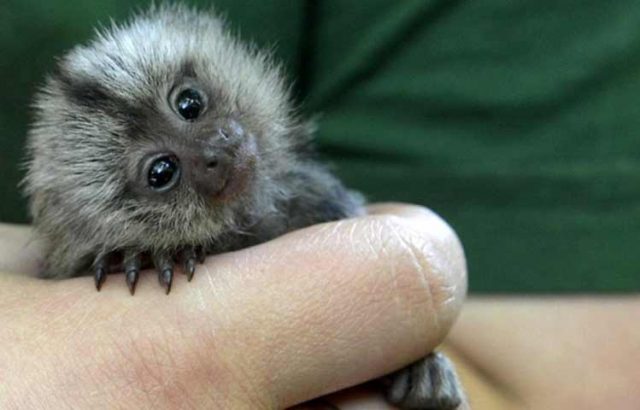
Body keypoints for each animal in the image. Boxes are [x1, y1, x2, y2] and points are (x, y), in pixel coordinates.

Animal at [22, 5, 464, 409]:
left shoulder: (320, 196)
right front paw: (142, 255)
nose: (214, 149)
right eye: (162, 171)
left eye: (189, 104)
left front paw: (422, 365)